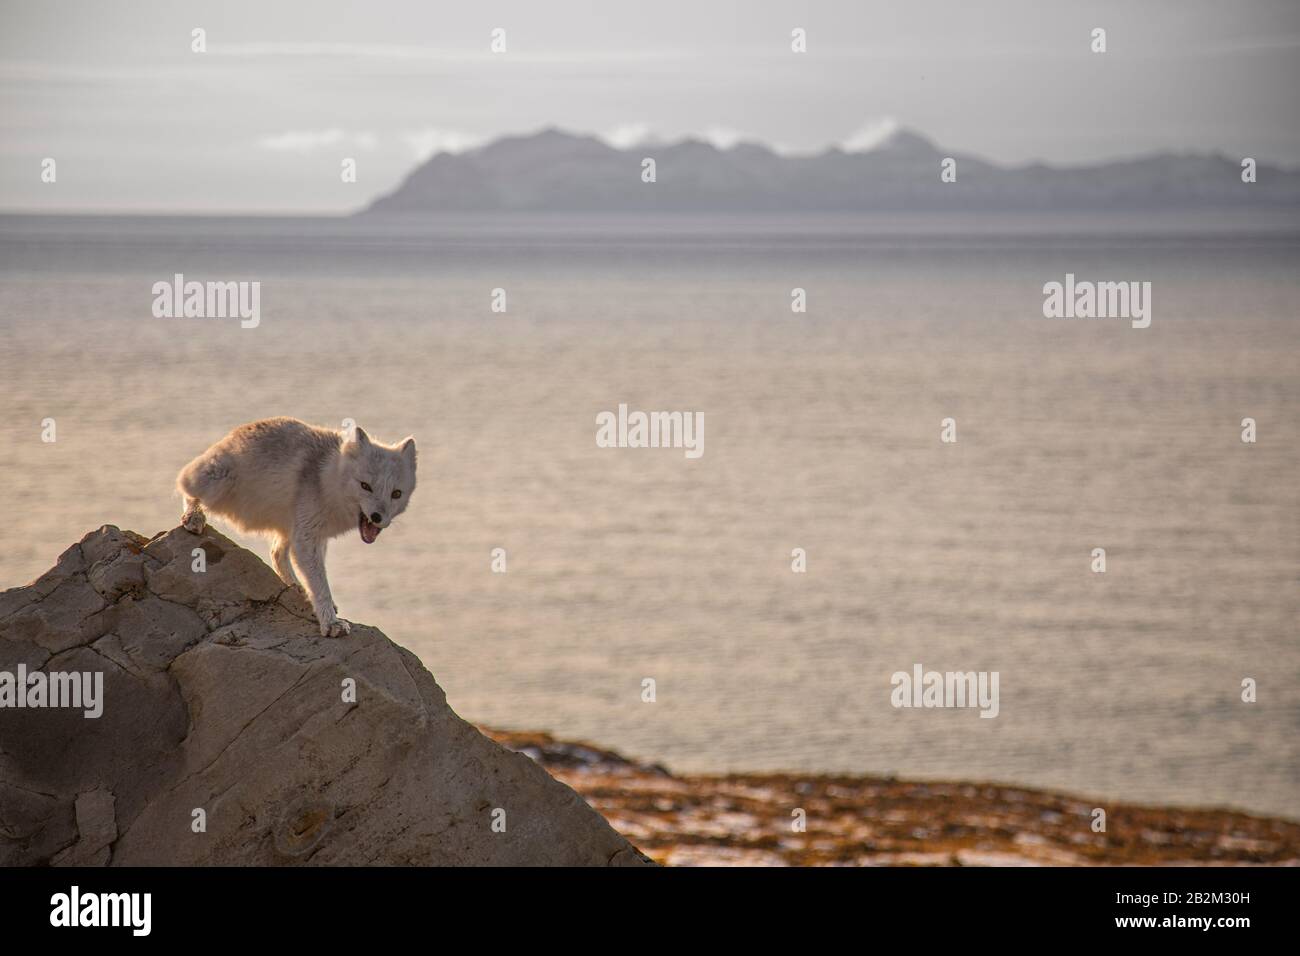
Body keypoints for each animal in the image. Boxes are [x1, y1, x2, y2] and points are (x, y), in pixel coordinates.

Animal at [176, 417, 417, 637]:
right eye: (365, 486)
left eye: (396, 493)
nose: (377, 517)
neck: (329, 478)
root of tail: (231, 435)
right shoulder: (307, 537)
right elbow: (320, 584)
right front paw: (331, 623)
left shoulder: (315, 536)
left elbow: (314, 577)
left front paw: (322, 608)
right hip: (218, 482)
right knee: (183, 481)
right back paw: (193, 517)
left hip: (286, 525)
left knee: (276, 553)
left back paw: (296, 588)